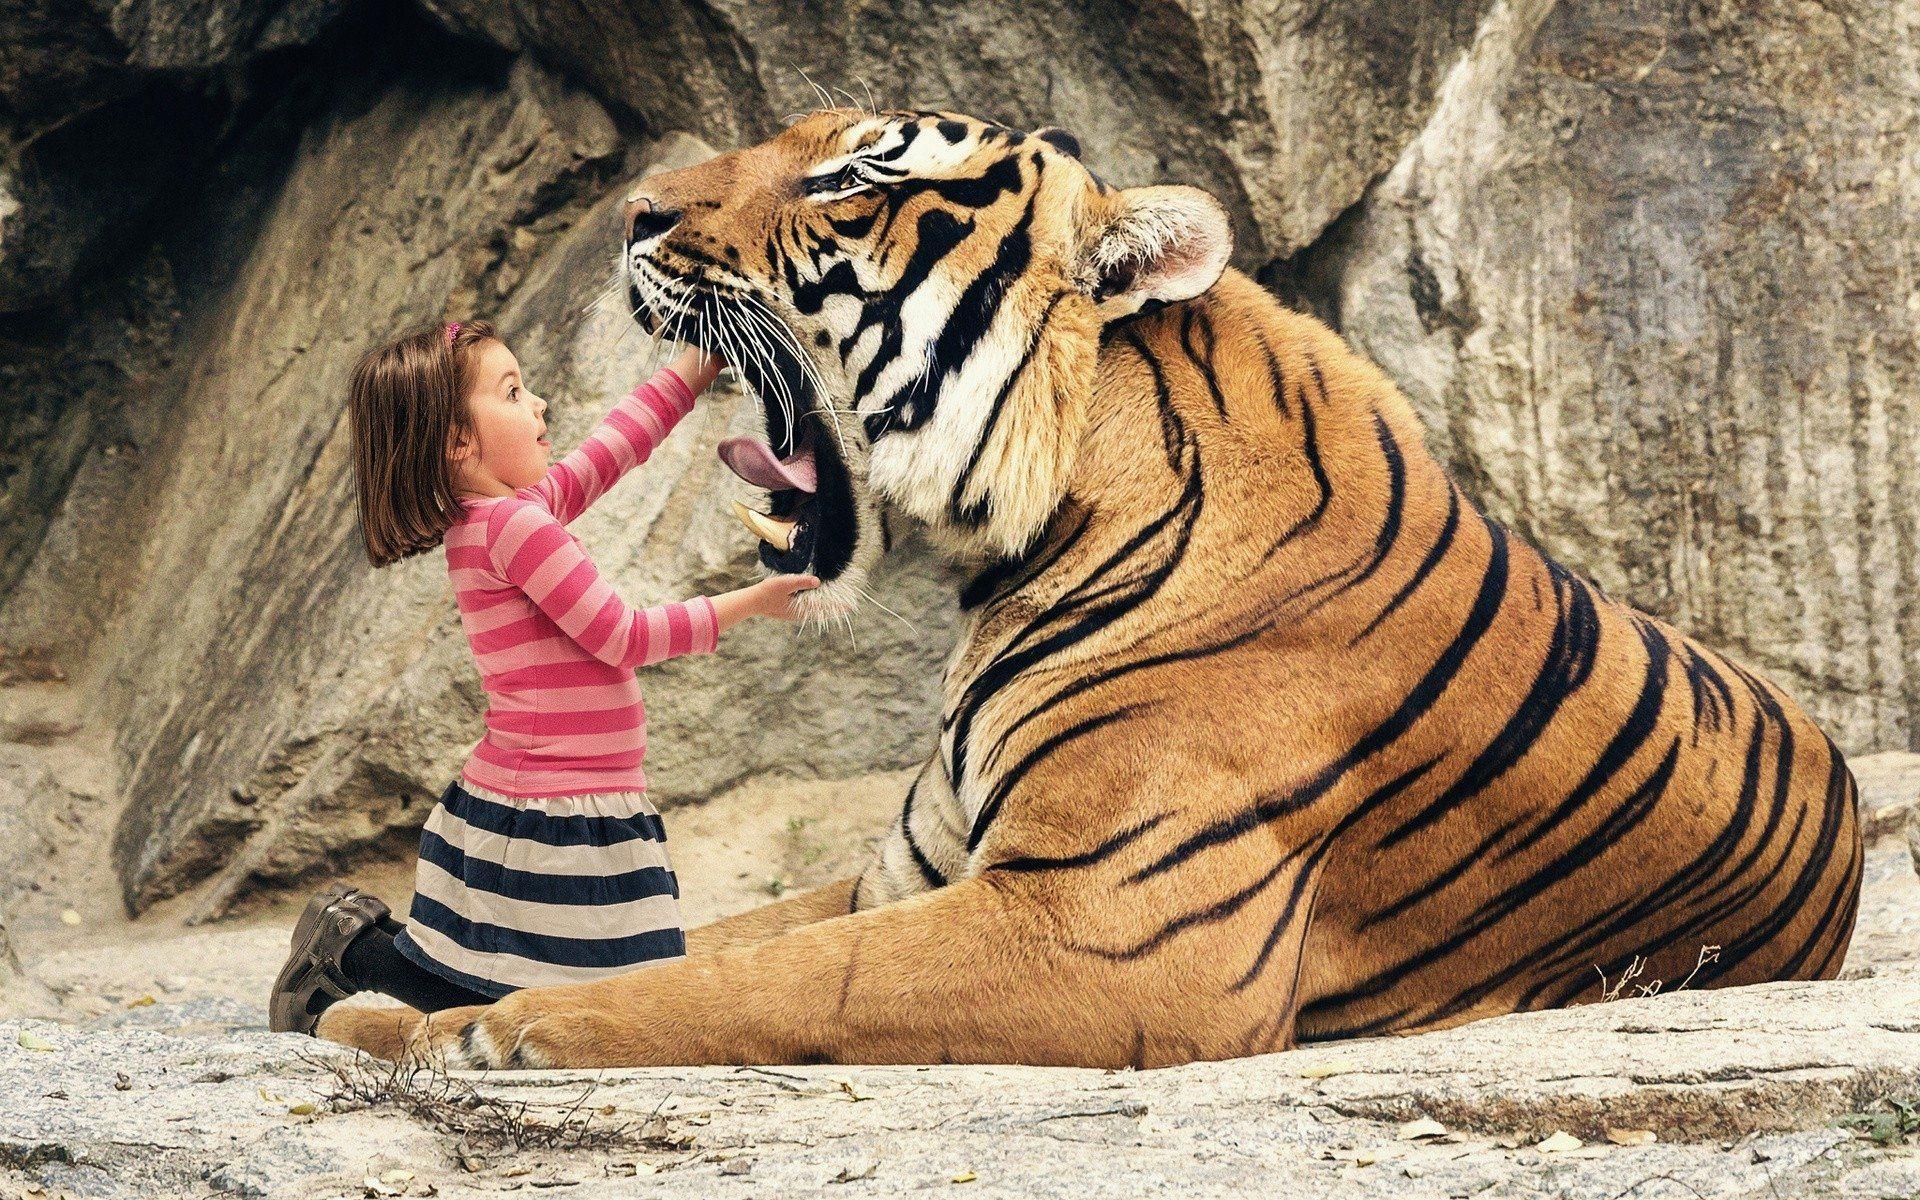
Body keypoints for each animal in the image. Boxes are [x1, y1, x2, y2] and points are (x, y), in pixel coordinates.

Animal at [319, 107, 1863, 1070]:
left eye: (850, 182)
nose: (635, 216)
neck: (1015, 553)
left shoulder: (1109, 927)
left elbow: (747, 976)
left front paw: (467, 1030)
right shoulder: (909, 870)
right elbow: (695, 940)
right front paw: (377, 1010)